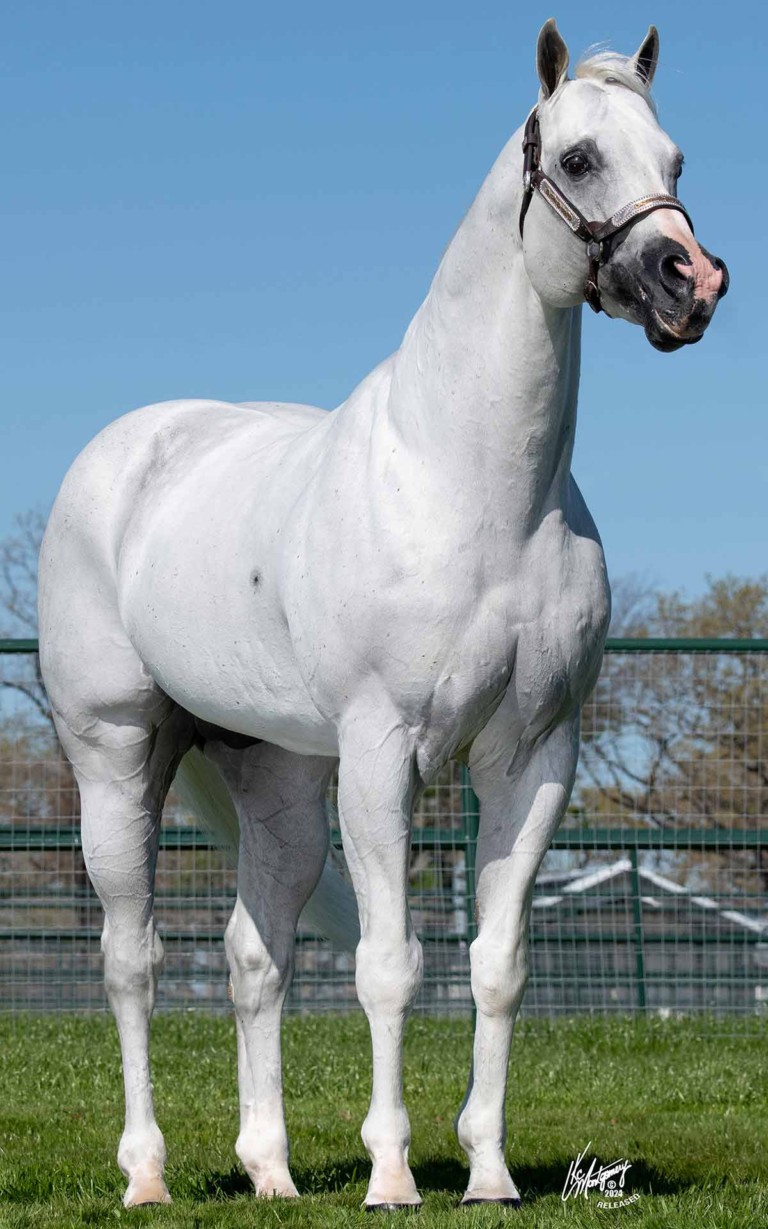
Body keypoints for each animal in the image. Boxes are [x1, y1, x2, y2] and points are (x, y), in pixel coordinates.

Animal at [38, 20, 727, 1210]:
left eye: (675, 160)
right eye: (580, 156)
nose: (692, 280)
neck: (474, 486)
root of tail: (124, 452)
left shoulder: (533, 756)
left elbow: (497, 965)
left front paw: (488, 1173)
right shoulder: (382, 751)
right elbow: (391, 966)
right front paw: (394, 1174)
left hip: (274, 778)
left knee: (252, 956)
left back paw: (269, 1170)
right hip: (119, 753)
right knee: (133, 960)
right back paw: (148, 1175)